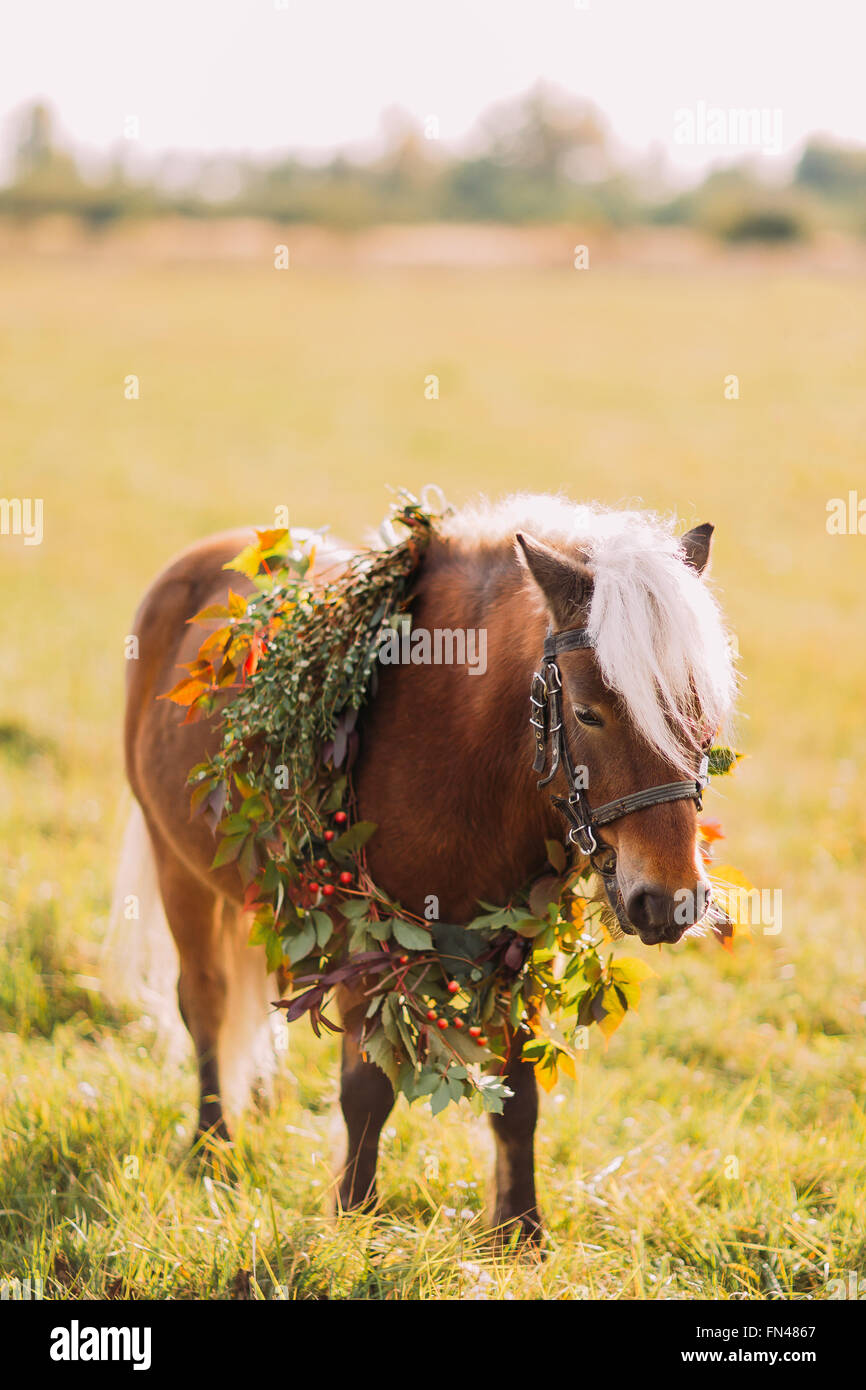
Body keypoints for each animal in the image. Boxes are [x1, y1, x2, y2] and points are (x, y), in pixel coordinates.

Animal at [120, 493, 736, 1243]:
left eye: (704, 709)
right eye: (589, 712)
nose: (672, 900)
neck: (458, 741)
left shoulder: (519, 943)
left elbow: (518, 1095)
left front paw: (521, 1233)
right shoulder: (364, 939)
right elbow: (365, 1091)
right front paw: (353, 1220)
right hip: (177, 868)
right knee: (204, 1004)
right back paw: (214, 1144)